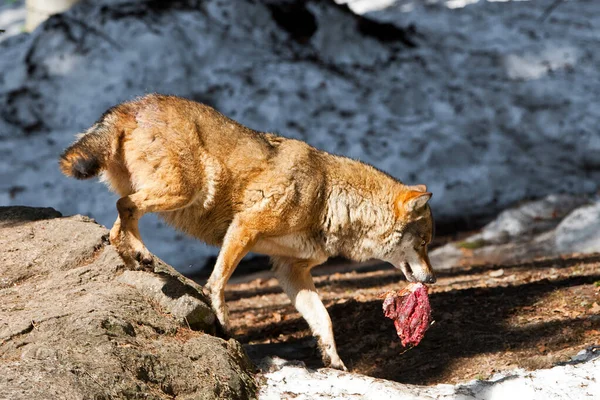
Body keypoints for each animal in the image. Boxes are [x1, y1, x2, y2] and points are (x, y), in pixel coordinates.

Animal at [59, 93, 436, 368]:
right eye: (423, 243)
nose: (432, 279)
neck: (328, 196)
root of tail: (126, 107)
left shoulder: (290, 269)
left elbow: (323, 319)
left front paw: (335, 364)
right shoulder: (245, 226)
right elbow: (217, 282)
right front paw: (223, 319)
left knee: (117, 223)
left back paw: (134, 256)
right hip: (183, 191)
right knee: (125, 206)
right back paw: (139, 254)